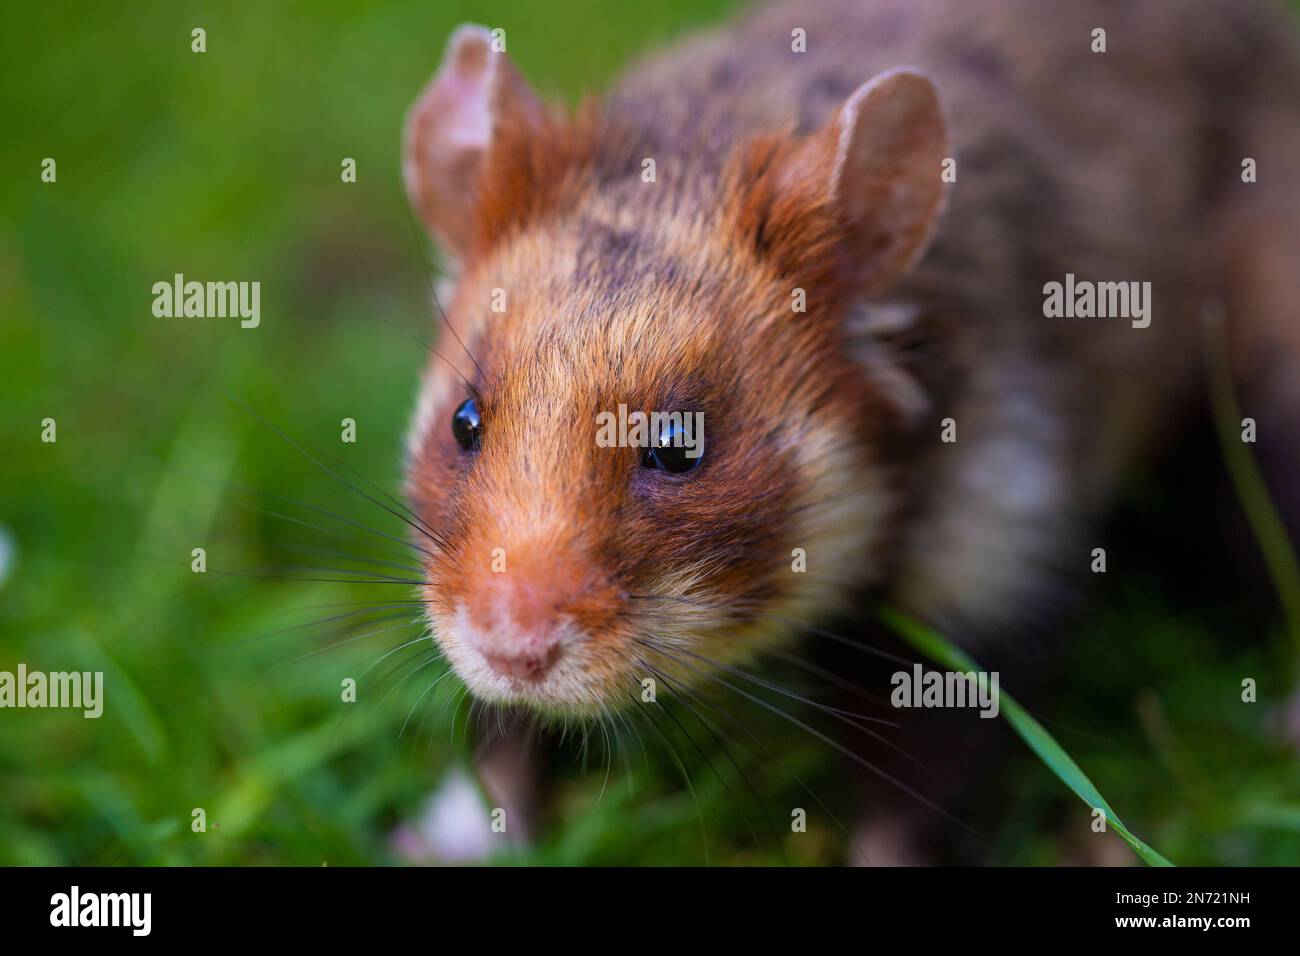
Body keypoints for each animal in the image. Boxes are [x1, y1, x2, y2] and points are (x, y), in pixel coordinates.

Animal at [397, 0, 1300, 852]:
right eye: (465, 420)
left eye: (682, 446)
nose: (511, 649)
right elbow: (500, 743)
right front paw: (442, 841)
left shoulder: (990, 567)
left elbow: (918, 794)